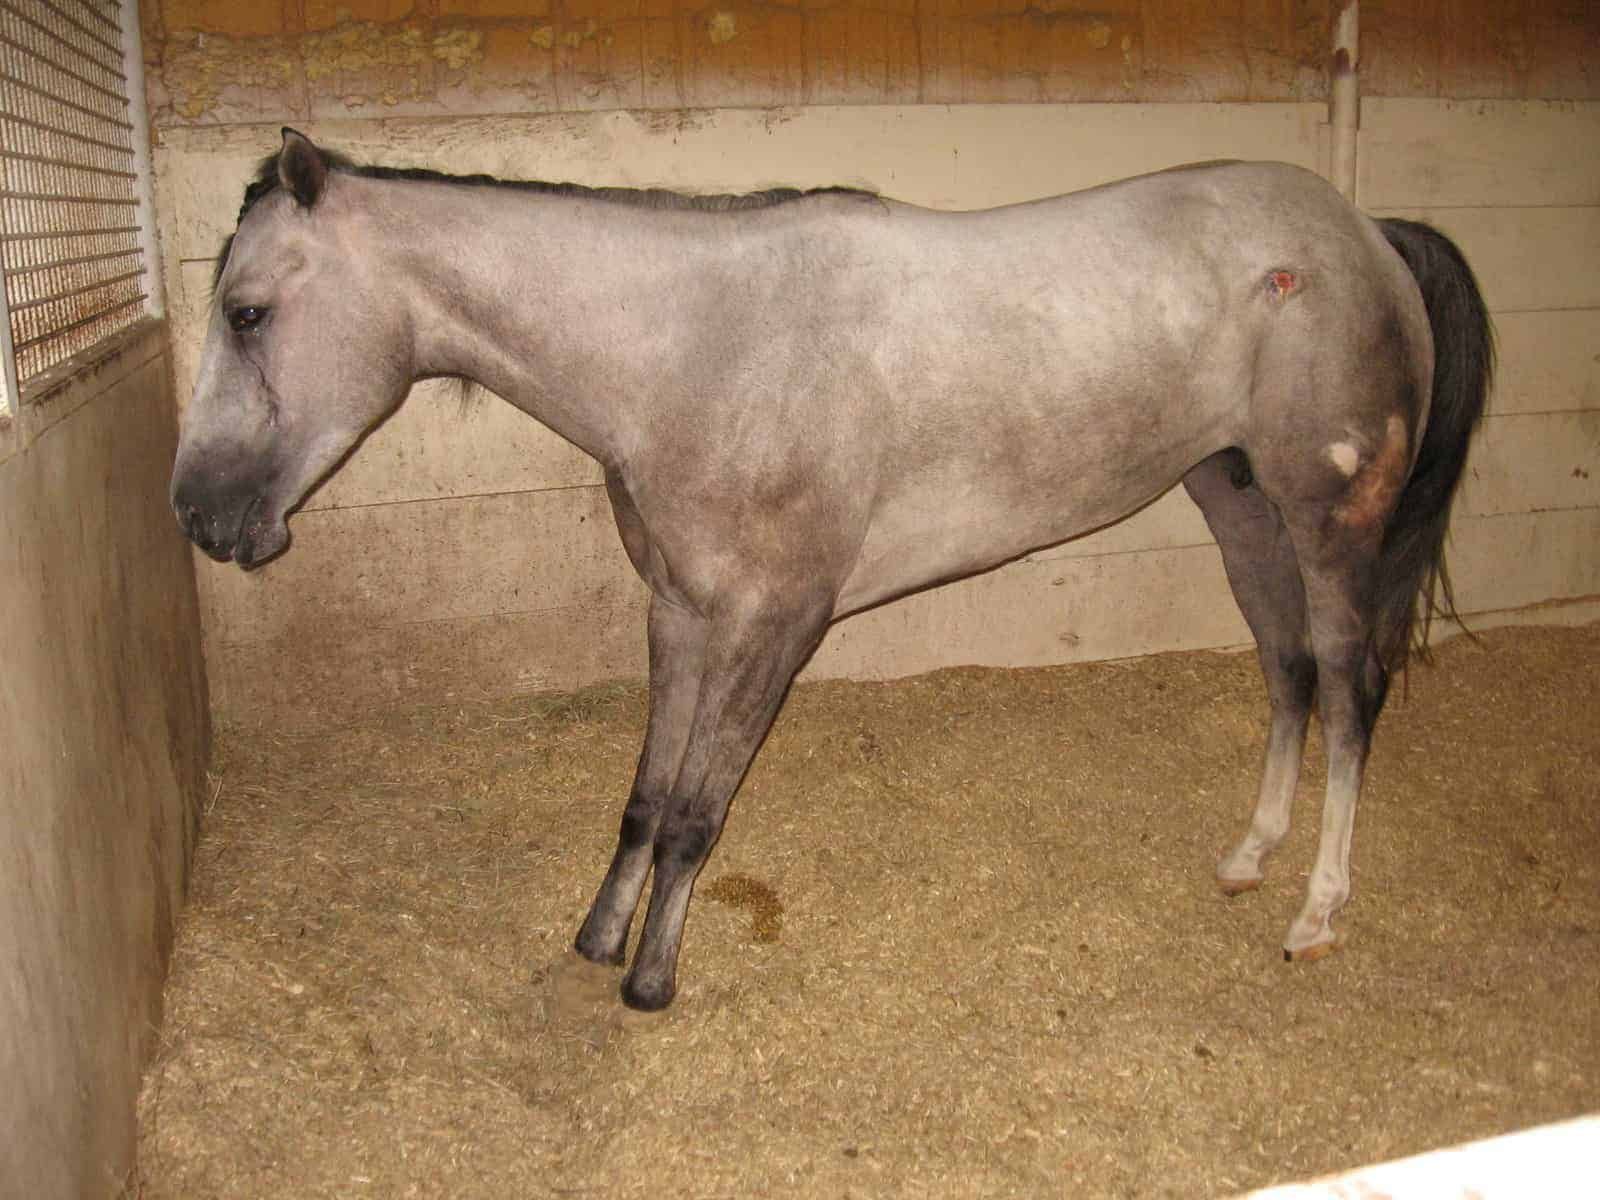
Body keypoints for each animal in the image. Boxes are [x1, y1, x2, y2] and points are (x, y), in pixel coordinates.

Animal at [172, 129, 1492, 1011]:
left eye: (246, 312)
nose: (196, 511)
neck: (701, 349)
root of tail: (1366, 233)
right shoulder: (679, 612)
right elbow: (646, 796)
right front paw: (601, 939)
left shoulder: (777, 621)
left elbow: (698, 813)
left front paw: (650, 982)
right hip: (1238, 507)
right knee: (1285, 672)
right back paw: (1248, 856)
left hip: (1326, 524)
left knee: (1350, 688)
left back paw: (1315, 912)